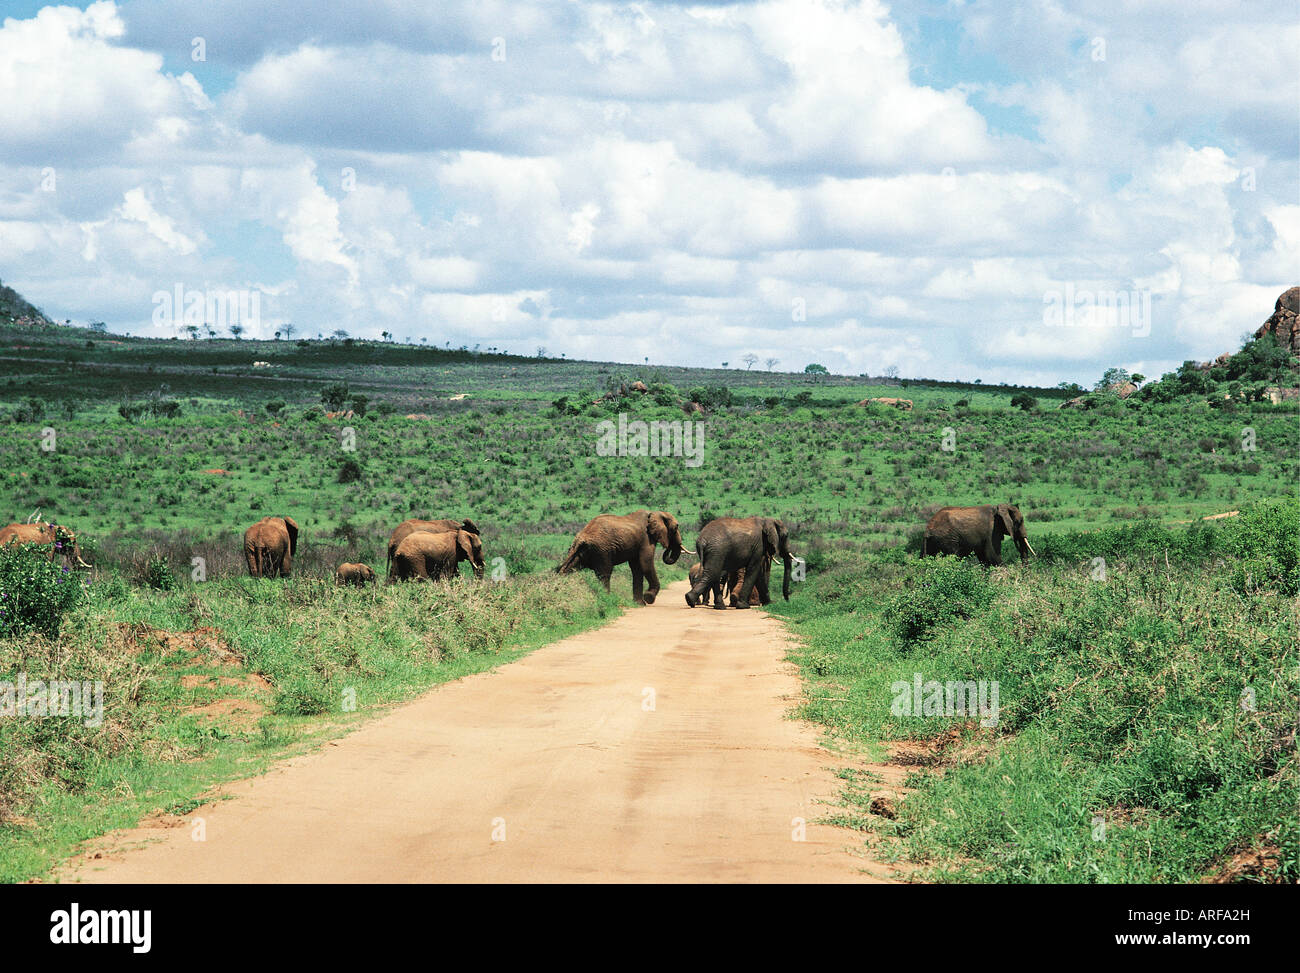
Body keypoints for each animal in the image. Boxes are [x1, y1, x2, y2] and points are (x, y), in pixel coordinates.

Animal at [556, 510, 691, 605]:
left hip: (580, 551)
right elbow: (645, 564)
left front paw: (639, 604)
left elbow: (637, 569)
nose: (669, 546)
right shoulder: (646, 539)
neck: (655, 513)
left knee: (570, 569)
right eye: (676, 527)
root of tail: (581, 537)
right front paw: (648, 598)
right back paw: (607, 600)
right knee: (605, 573)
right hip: (601, 550)